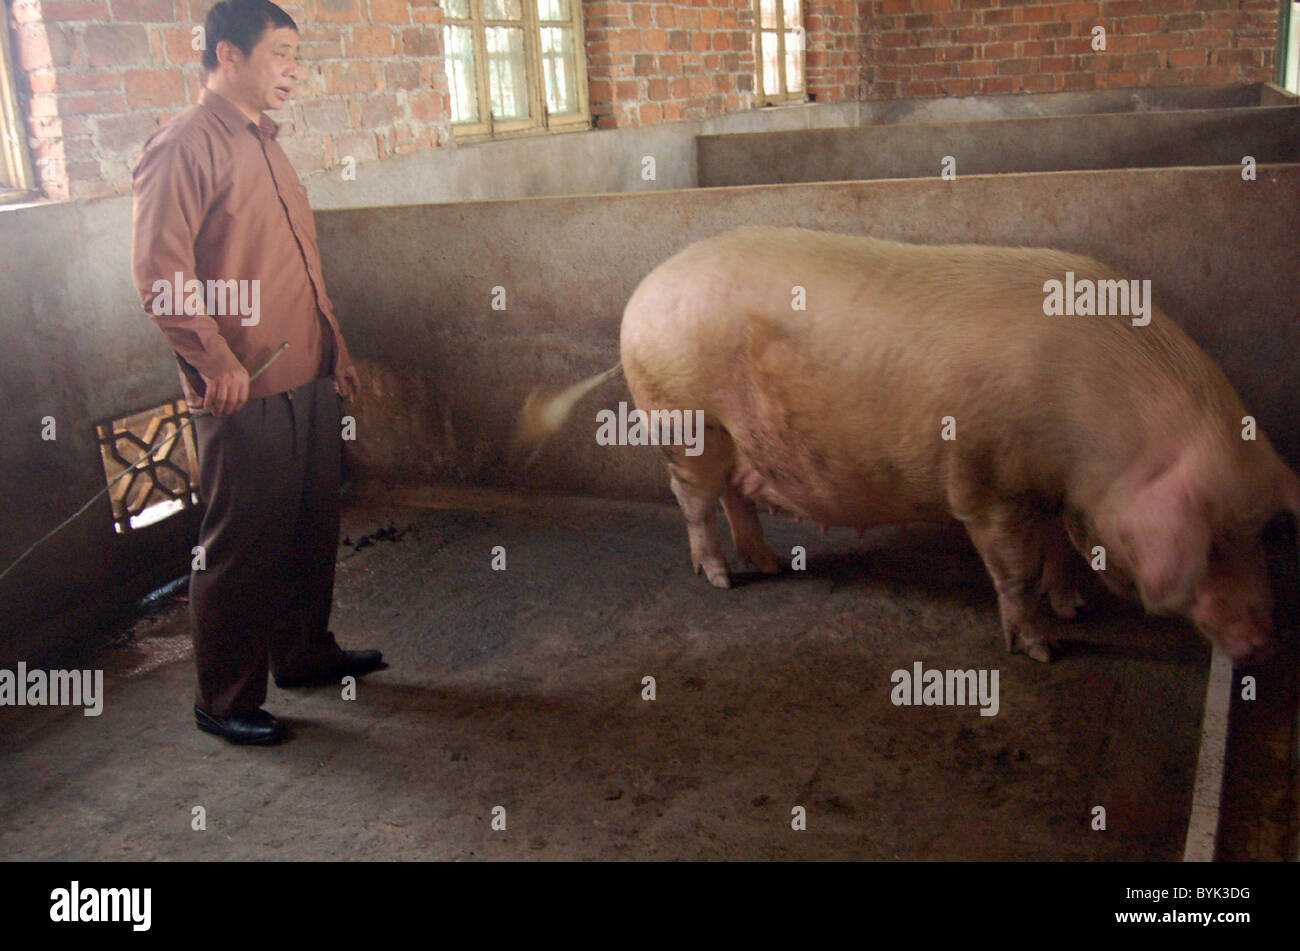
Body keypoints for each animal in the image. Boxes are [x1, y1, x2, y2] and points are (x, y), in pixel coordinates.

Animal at [615, 227, 1299, 664]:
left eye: (1260, 530)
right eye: (1213, 543)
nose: (1267, 643)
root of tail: (642, 292)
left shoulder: (1048, 487)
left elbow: (1060, 548)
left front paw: (1075, 607)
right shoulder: (986, 481)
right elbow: (1015, 568)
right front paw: (1045, 649)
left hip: (733, 435)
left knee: (735, 494)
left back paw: (769, 564)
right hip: (683, 419)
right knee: (694, 501)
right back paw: (721, 580)